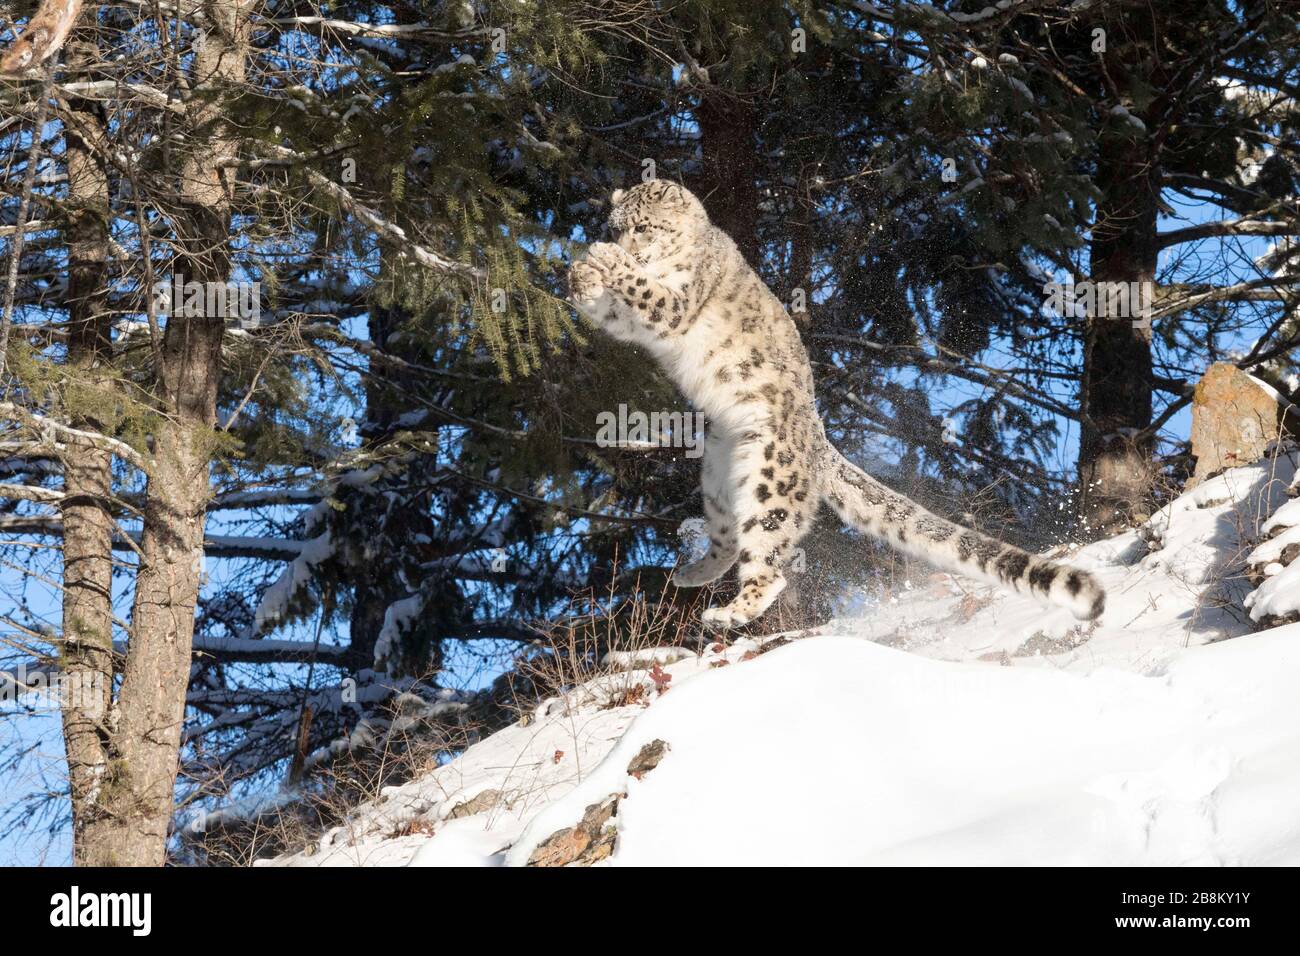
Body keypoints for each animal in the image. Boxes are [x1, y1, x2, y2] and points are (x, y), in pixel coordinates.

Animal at [568, 179, 1105, 628]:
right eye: (615, 225)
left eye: (642, 227)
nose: (615, 241)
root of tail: (816, 441)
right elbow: (616, 314)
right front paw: (581, 276)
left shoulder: (680, 300)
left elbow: (649, 295)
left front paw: (602, 263)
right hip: (719, 483)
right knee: (728, 538)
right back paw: (693, 572)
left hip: (771, 482)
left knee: (769, 560)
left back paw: (729, 612)